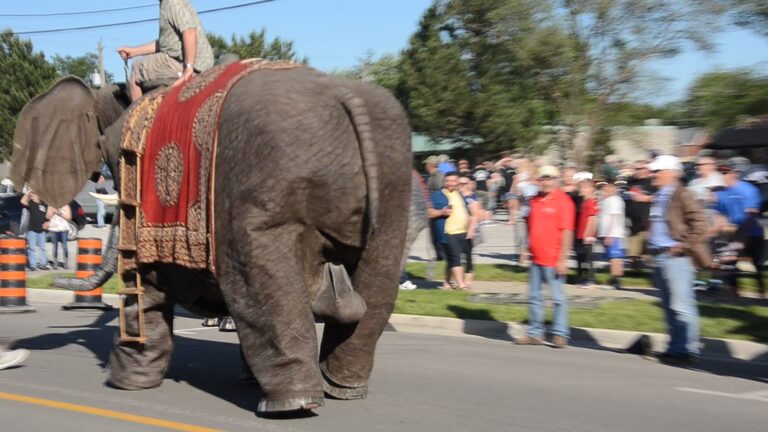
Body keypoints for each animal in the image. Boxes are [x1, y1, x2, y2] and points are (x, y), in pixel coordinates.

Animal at [11, 65, 414, 415]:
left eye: (110, 157)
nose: (59, 280)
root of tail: (347, 95)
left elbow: (144, 286)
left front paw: (125, 386)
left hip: (263, 190)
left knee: (262, 282)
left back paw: (290, 407)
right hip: (392, 185)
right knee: (376, 284)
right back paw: (342, 390)